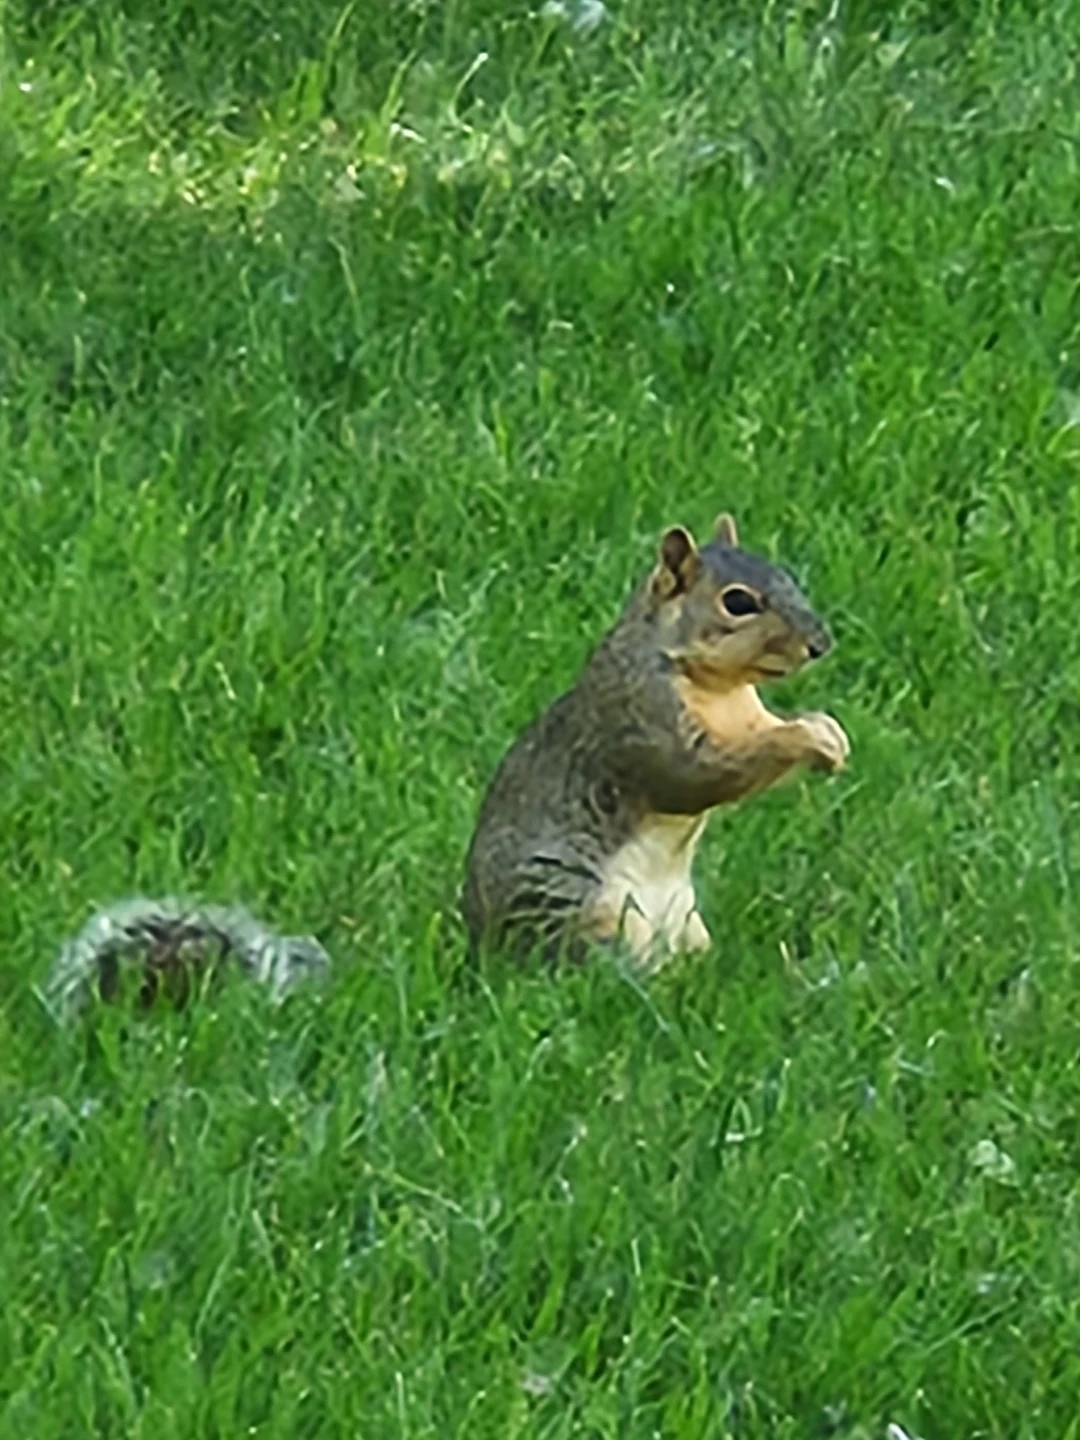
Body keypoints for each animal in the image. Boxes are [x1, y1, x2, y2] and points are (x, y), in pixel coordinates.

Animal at [461, 511, 849, 969]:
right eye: (738, 603)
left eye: (787, 577)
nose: (820, 645)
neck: (718, 688)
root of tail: (480, 941)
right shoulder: (644, 715)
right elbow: (691, 775)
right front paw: (805, 738)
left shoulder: (748, 718)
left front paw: (829, 730)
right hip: (578, 905)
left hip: (688, 923)